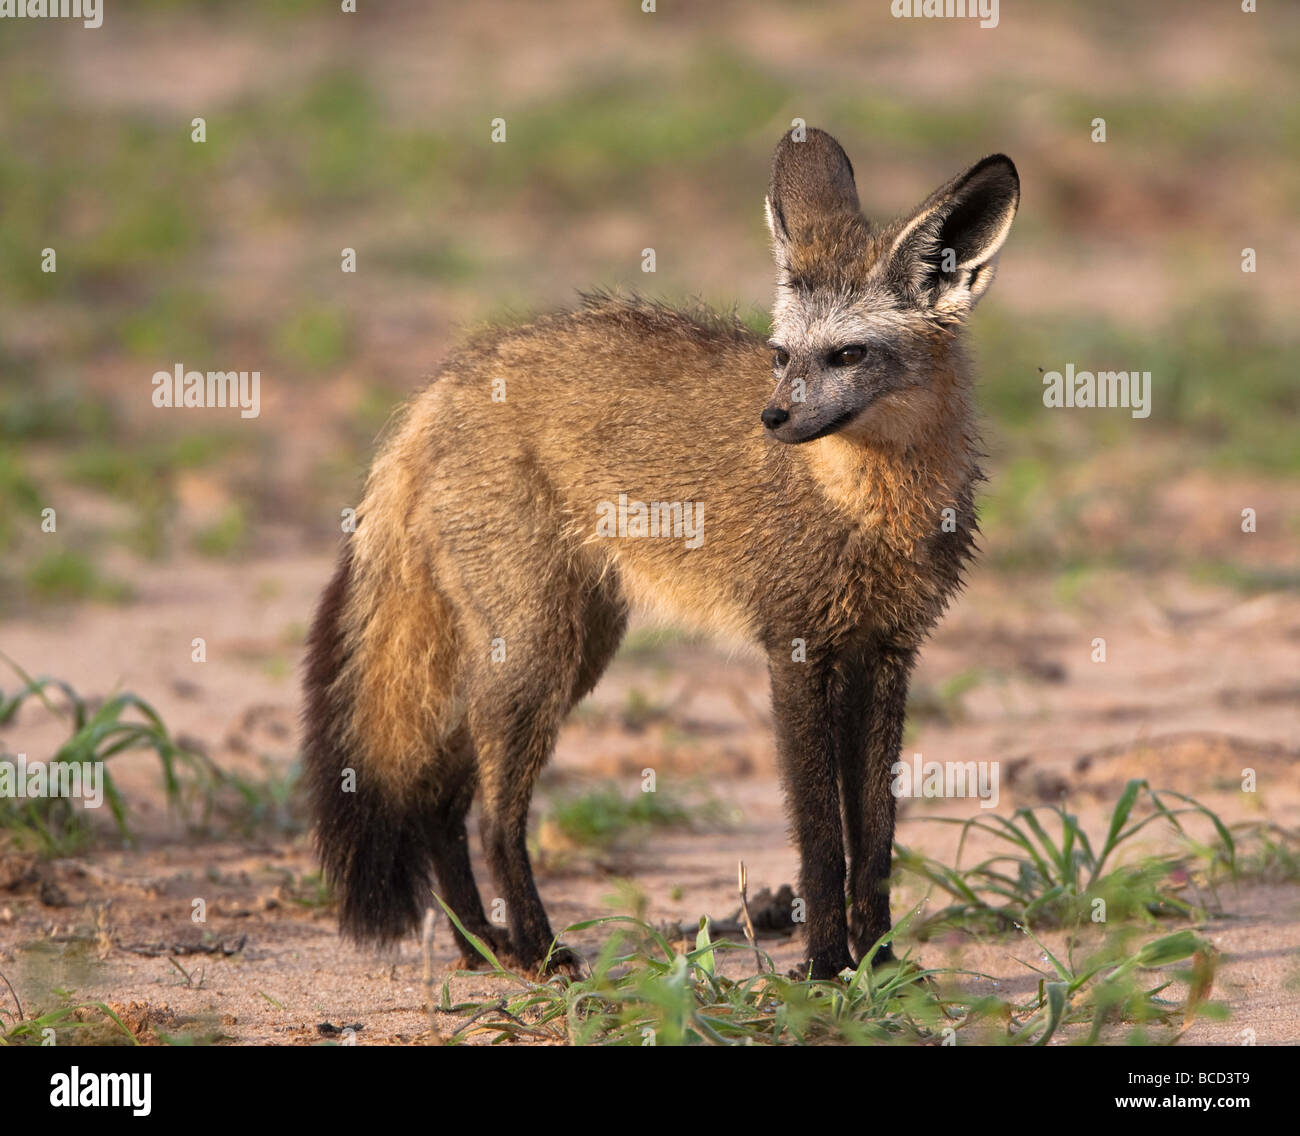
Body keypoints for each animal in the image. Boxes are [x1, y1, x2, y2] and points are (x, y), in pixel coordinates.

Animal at [303, 127, 1019, 980]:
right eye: (781, 354)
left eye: (847, 356)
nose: (773, 419)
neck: (870, 506)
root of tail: (447, 382)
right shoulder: (795, 650)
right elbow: (821, 840)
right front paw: (822, 969)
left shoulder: (886, 653)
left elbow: (874, 840)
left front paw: (879, 966)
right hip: (539, 656)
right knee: (490, 818)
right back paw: (539, 951)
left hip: (571, 652)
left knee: (445, 801)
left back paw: (482, 944)